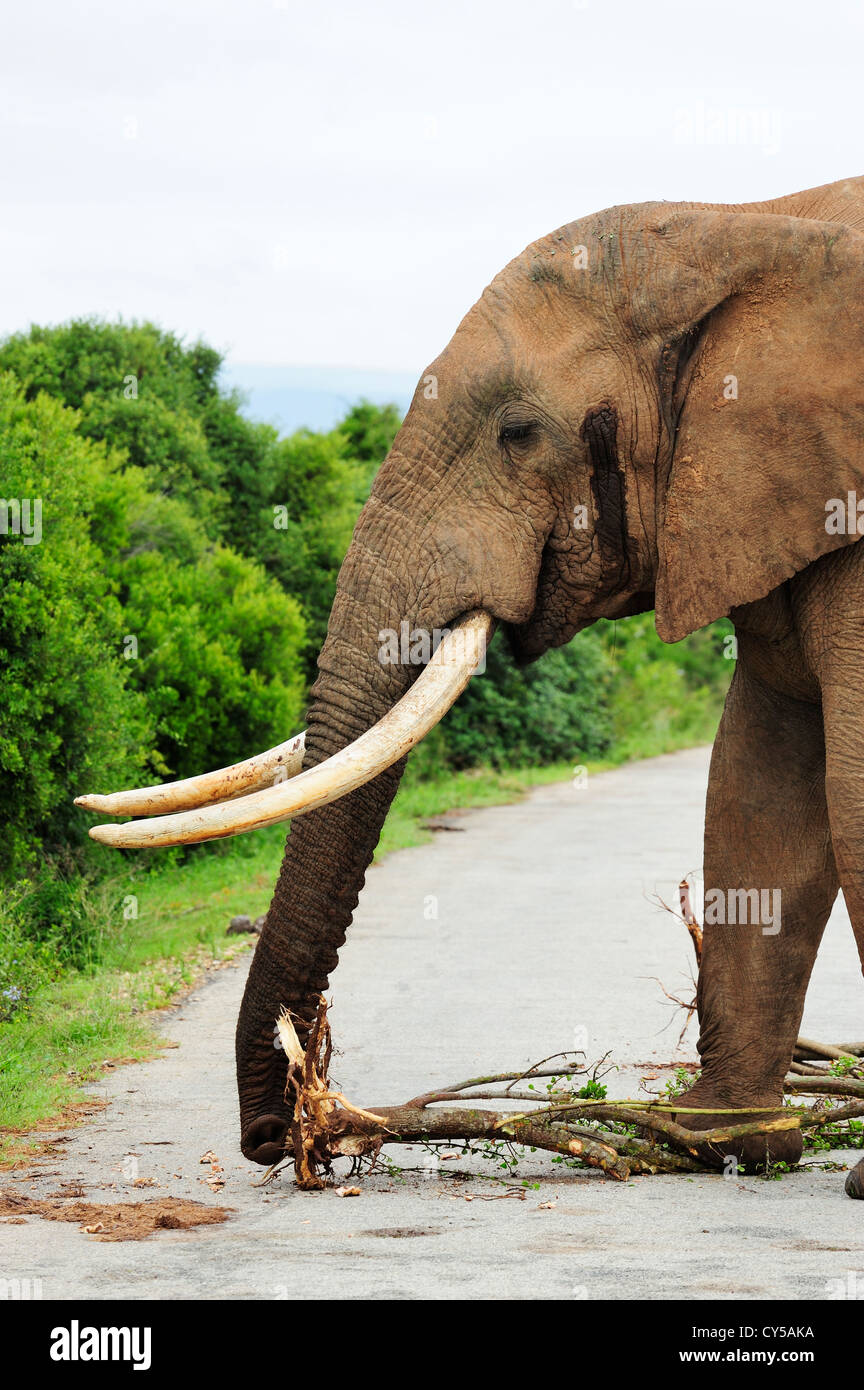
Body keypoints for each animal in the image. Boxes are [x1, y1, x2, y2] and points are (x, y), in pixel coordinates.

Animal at [78, 174, 864, 1198]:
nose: (286, 1133)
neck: (748, 224)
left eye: (519, 433)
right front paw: (713, 1139)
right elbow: (757, 785)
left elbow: (848, 789)